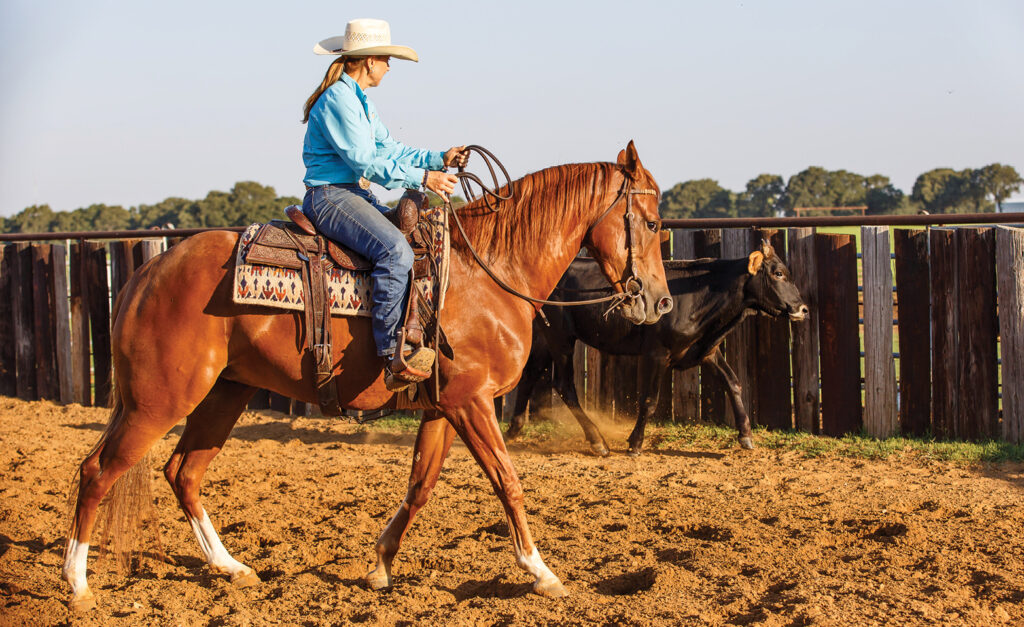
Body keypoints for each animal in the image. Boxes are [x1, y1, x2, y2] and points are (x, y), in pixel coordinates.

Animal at [63, 141, 673, 610]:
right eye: (650, 222)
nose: (661, 301)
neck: (491, 272)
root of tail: (147, 270)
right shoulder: (471, 403)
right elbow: (508, 481)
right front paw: (541, 572)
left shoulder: (443, 407)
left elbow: (421, 484)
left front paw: (380, 564)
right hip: (157, 401)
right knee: (97, 471)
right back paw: (77, 584)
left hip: (223, 395)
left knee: (182, 473)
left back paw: (232, 567)